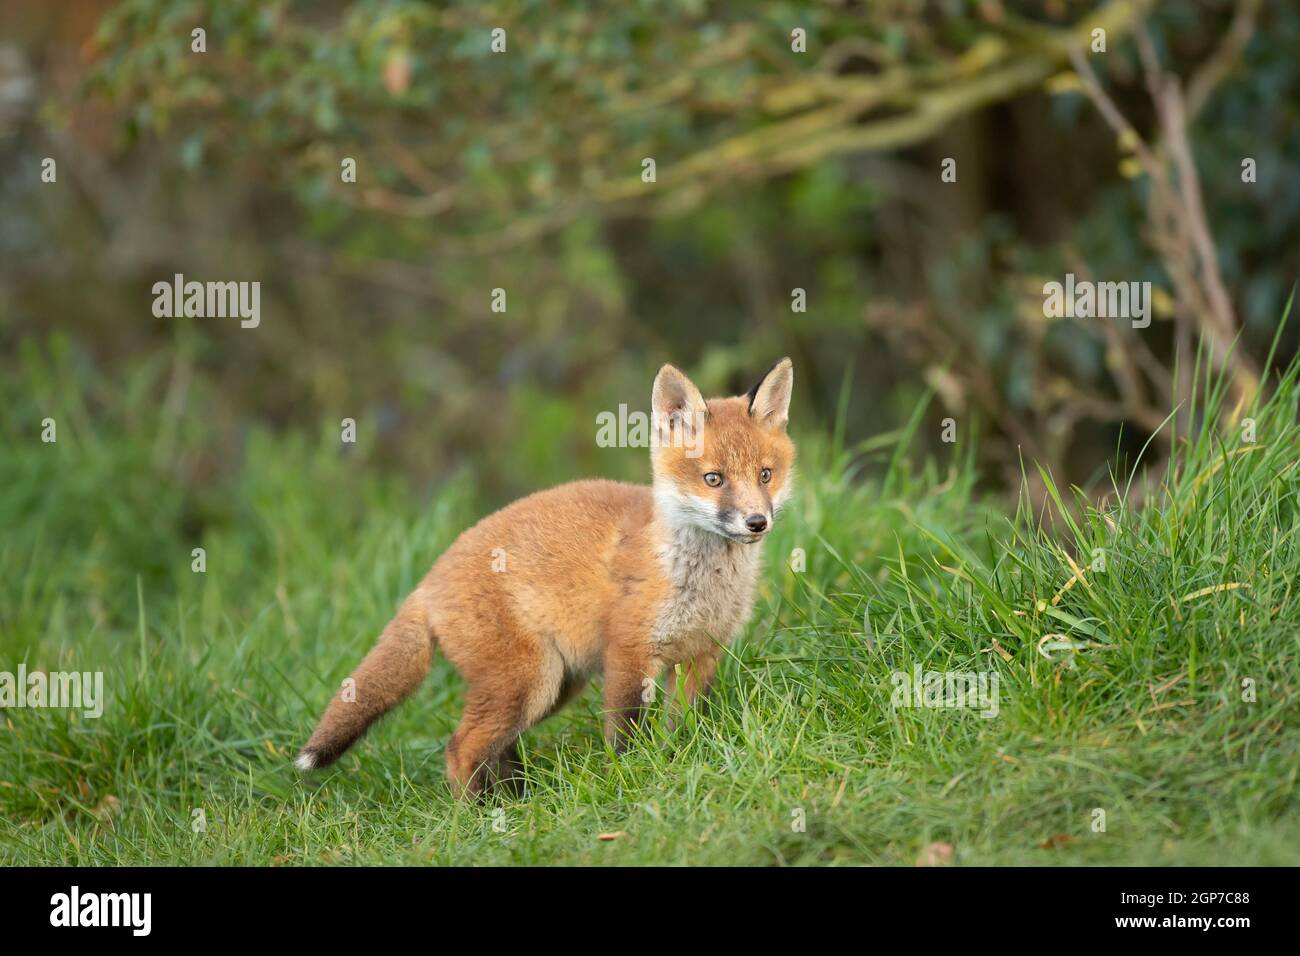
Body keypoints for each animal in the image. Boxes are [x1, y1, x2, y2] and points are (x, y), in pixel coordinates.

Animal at [296, 358, 795, 797]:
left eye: (765, 475)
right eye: (714, 479)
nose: (757, 522)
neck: (699, 580)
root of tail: (427, 581)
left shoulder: (702, 653)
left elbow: (687, 725)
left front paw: (680, 761)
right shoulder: (628, 652)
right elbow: (625, 735)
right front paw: (631, 779)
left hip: (552, 686)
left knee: (497, 749)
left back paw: (514, 801)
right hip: (528, 681)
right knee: (460, 748)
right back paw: (477, 818)